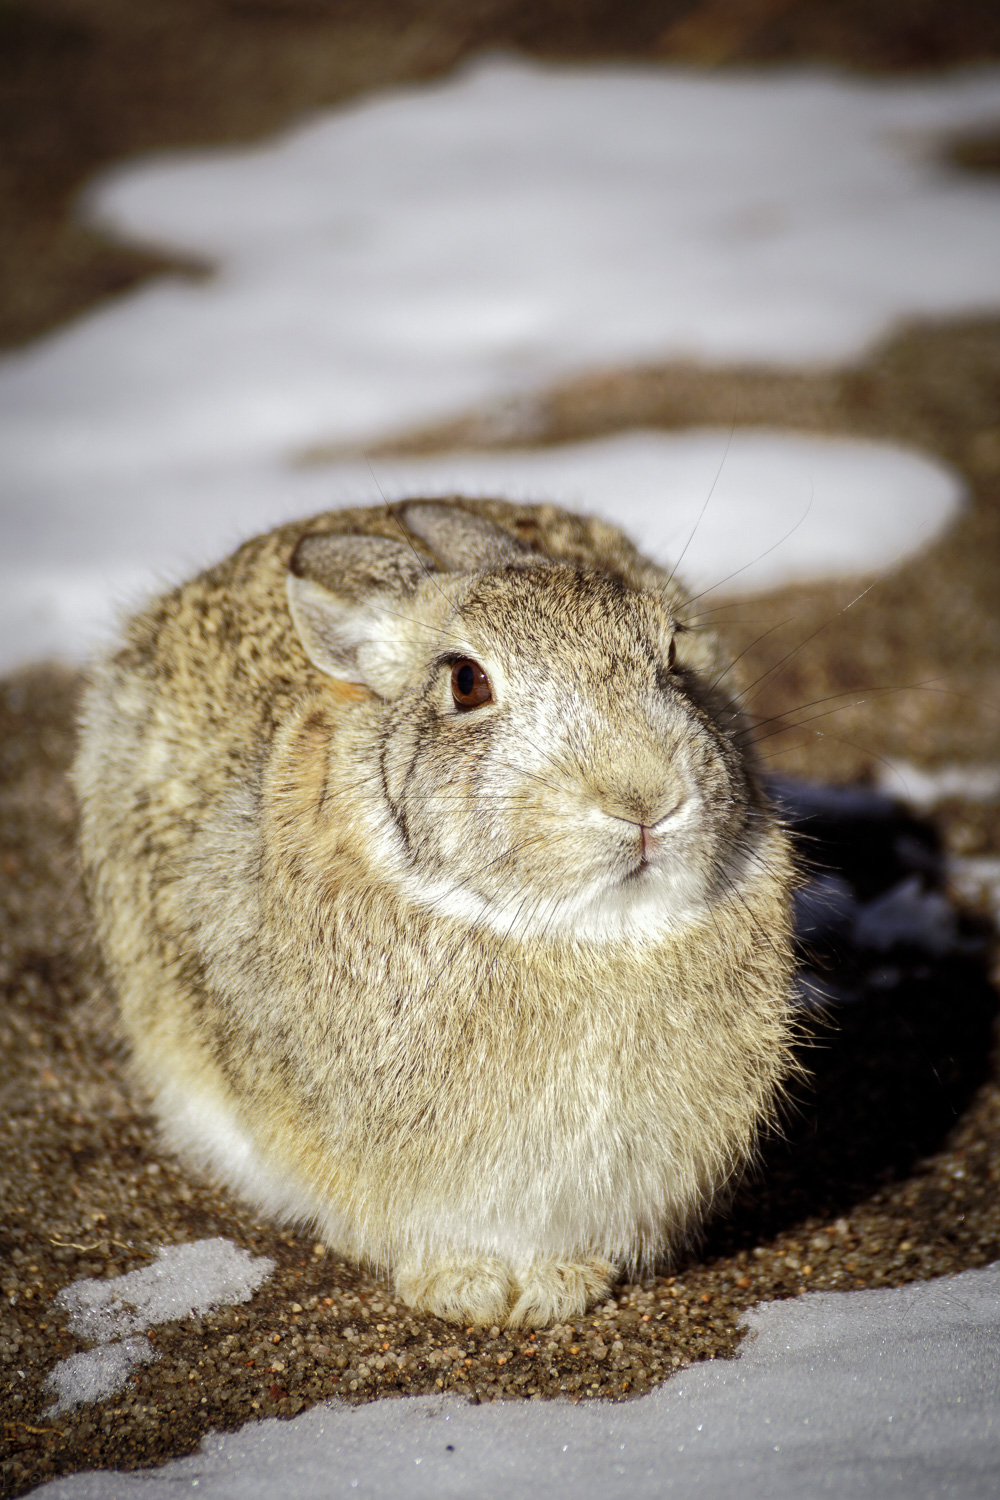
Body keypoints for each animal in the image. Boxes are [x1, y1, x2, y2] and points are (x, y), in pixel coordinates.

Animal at [73, 496, 796, 1329]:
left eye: (671, 652)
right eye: (467, 682)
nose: (644, 796)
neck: (579, 933)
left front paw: (558, 1283)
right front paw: (466, 1290)